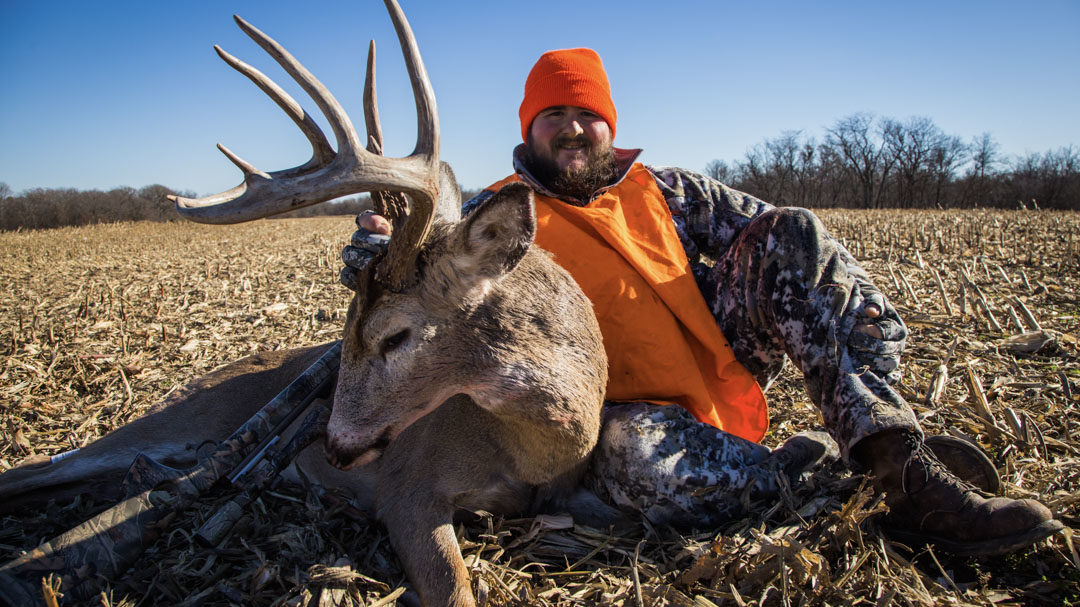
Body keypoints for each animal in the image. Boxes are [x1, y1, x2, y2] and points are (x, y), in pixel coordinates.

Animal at [0, 1, 608, 605]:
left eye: (394, 335)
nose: (333, 446)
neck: (533, 450)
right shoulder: (407, 487)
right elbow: (453, 588)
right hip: (170, 417)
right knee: (31, 468)